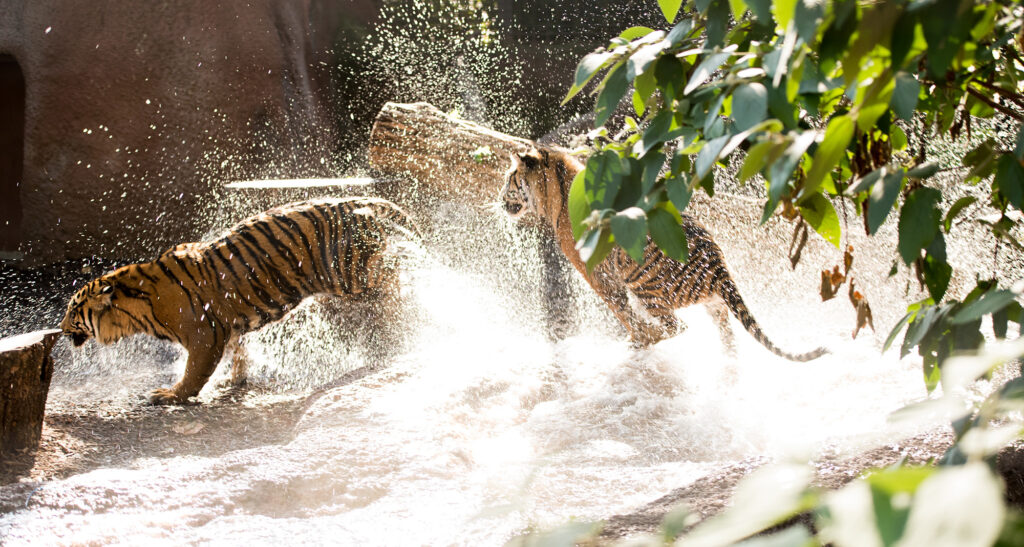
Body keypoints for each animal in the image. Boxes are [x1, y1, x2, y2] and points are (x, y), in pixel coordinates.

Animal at [60, 196, 420, 404]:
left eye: (73, 310)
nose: (60, 329)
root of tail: (370, 202)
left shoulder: (204, 336)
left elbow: (194, 373)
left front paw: (171, 394)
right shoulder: (227, 327)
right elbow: (239, 352)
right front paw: (235, 379)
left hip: (358, 271)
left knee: (396, 289)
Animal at [499, 145, 827, 361]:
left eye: (509, 178)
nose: (500, 199)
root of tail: (716, 261)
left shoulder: (598, 275)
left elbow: (621, 311)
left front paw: (637, 336)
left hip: (643, 284)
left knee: (676, 325)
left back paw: (643, 341)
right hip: (711, 301)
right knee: (723, 328)